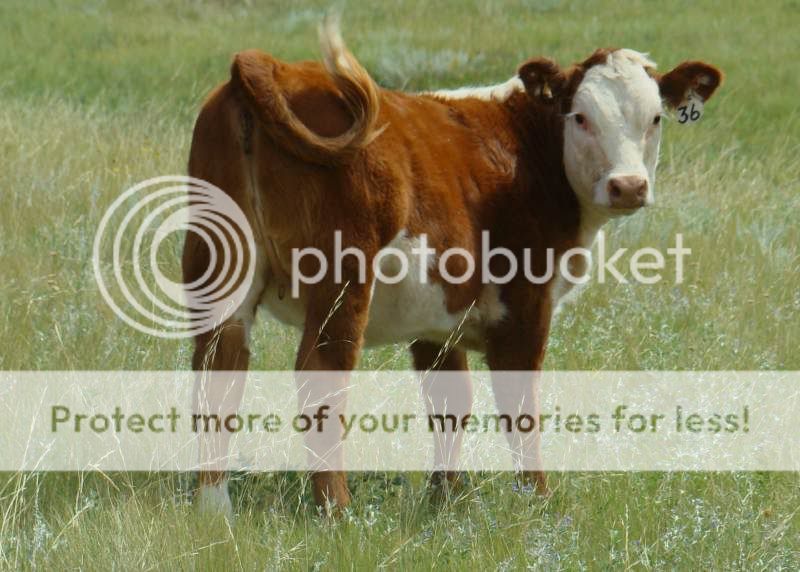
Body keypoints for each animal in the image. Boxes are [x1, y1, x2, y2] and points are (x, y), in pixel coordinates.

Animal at [182, 18, 722, 515]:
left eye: (655, 119)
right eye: (581, 117)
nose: (628, 186)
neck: (525, 151)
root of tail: (275, 64)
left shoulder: (438, 318)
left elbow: (449, 404)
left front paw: (447, 500)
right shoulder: (525, 302)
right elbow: (519, 406)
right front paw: (539, 503)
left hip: (220, 268)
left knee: (219, 368)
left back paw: (214, 508)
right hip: (342, 275)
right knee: (320, 374)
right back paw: (337, 510)